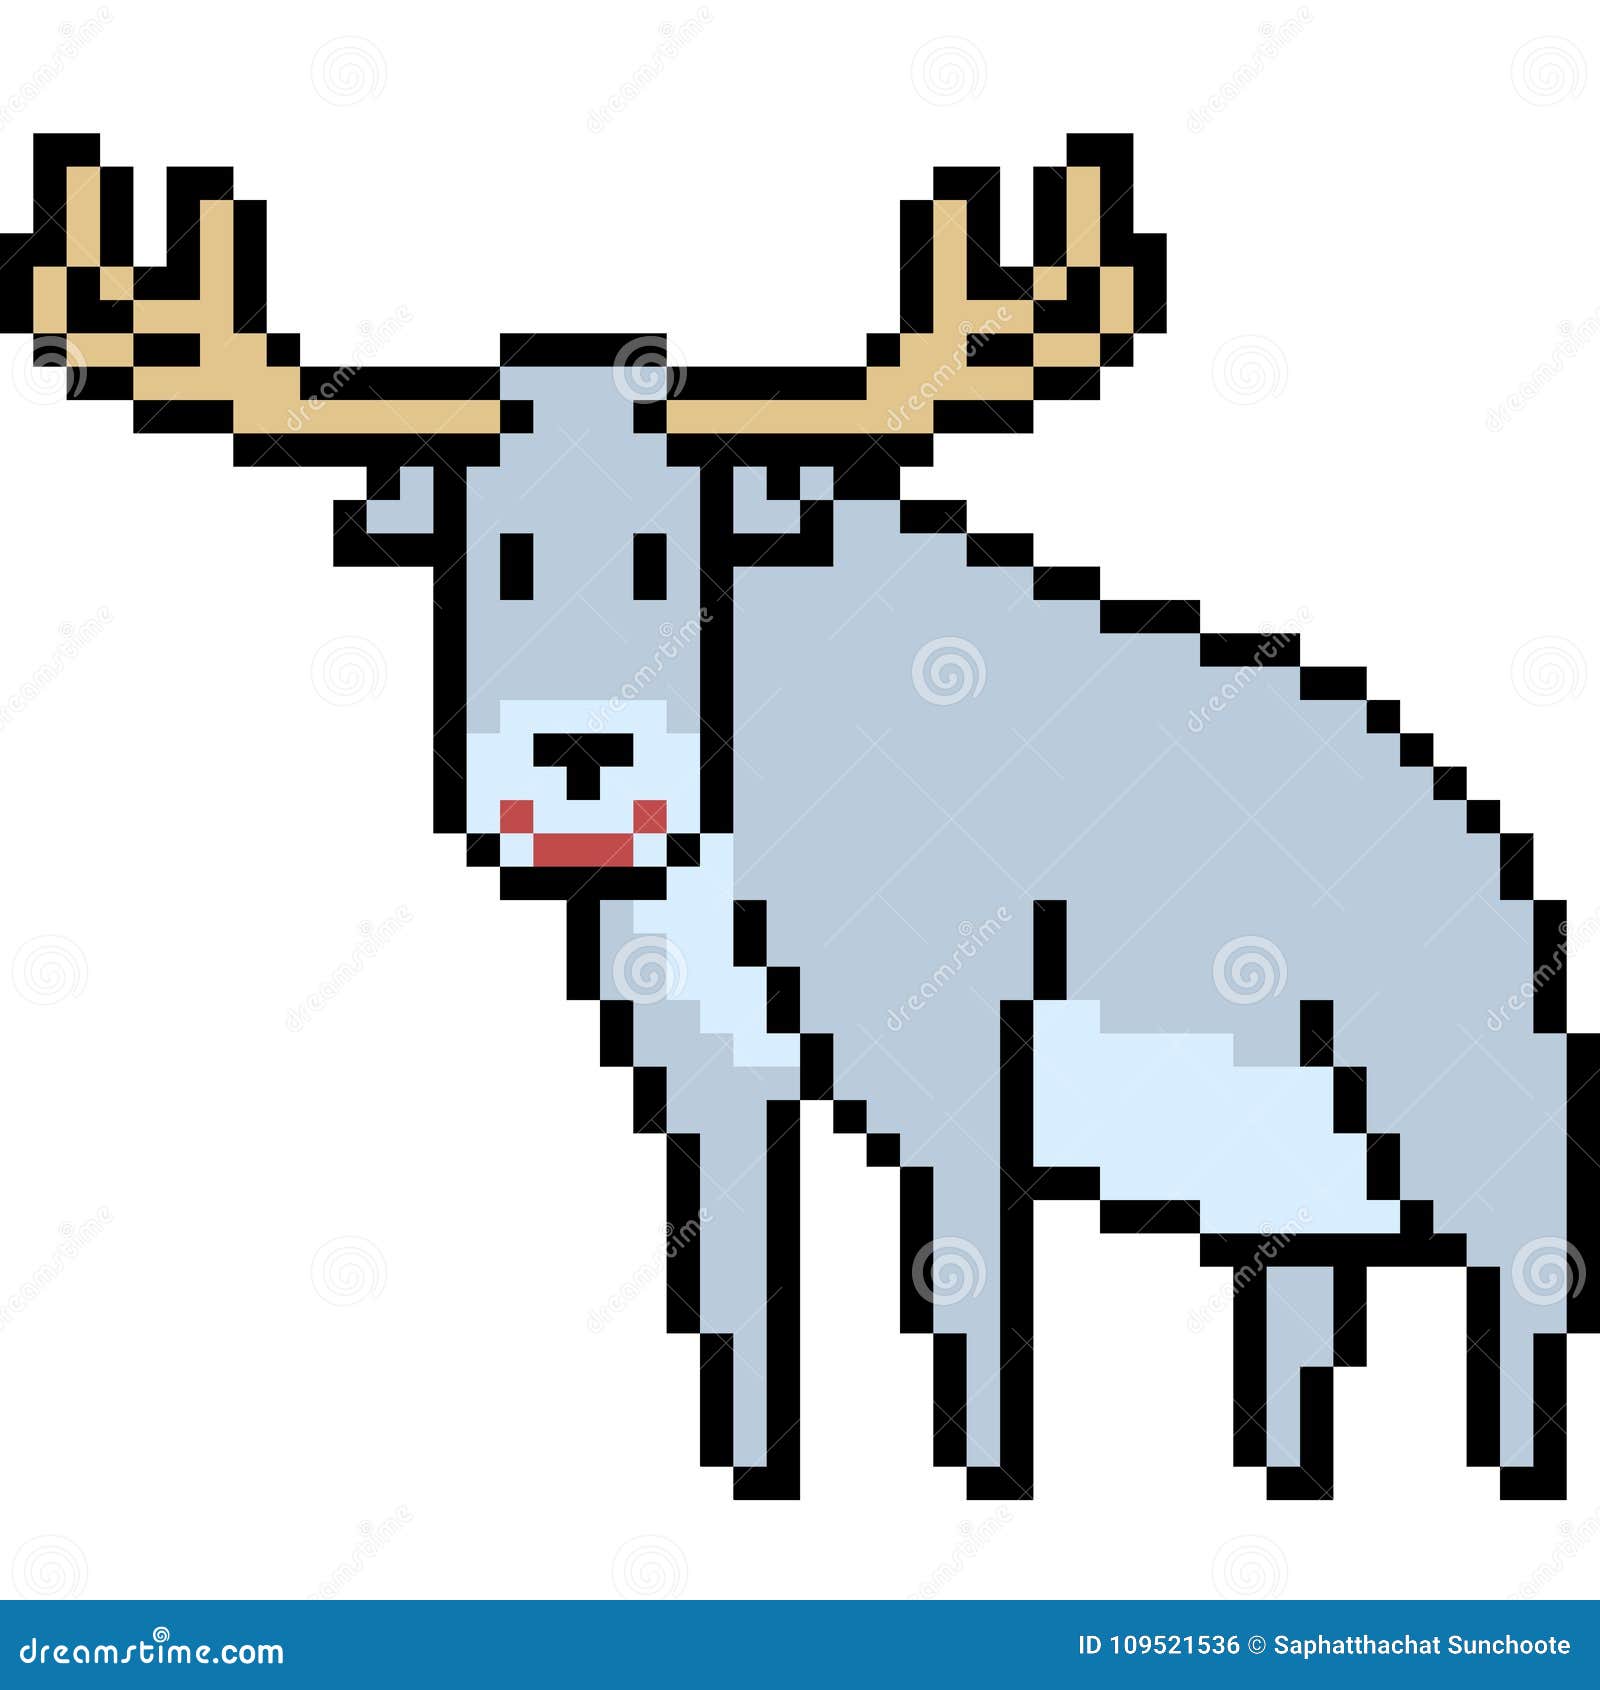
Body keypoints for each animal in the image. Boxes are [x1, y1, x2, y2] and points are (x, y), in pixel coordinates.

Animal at [3, 131, 1589, 1504]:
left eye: (672, 546)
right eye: (486, 547)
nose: (582, 766)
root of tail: (1500, 856)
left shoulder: (950, 1037)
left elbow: (964, 1276)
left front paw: (987, 1480)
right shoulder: (697, 1050)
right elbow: (736, 1283)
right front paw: (761, 1478)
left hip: (1466, 1109)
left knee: (1523, 1284)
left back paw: (1517, 1479)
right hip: (1284, 1177)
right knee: (1308, 1299)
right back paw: (1285, 1484)